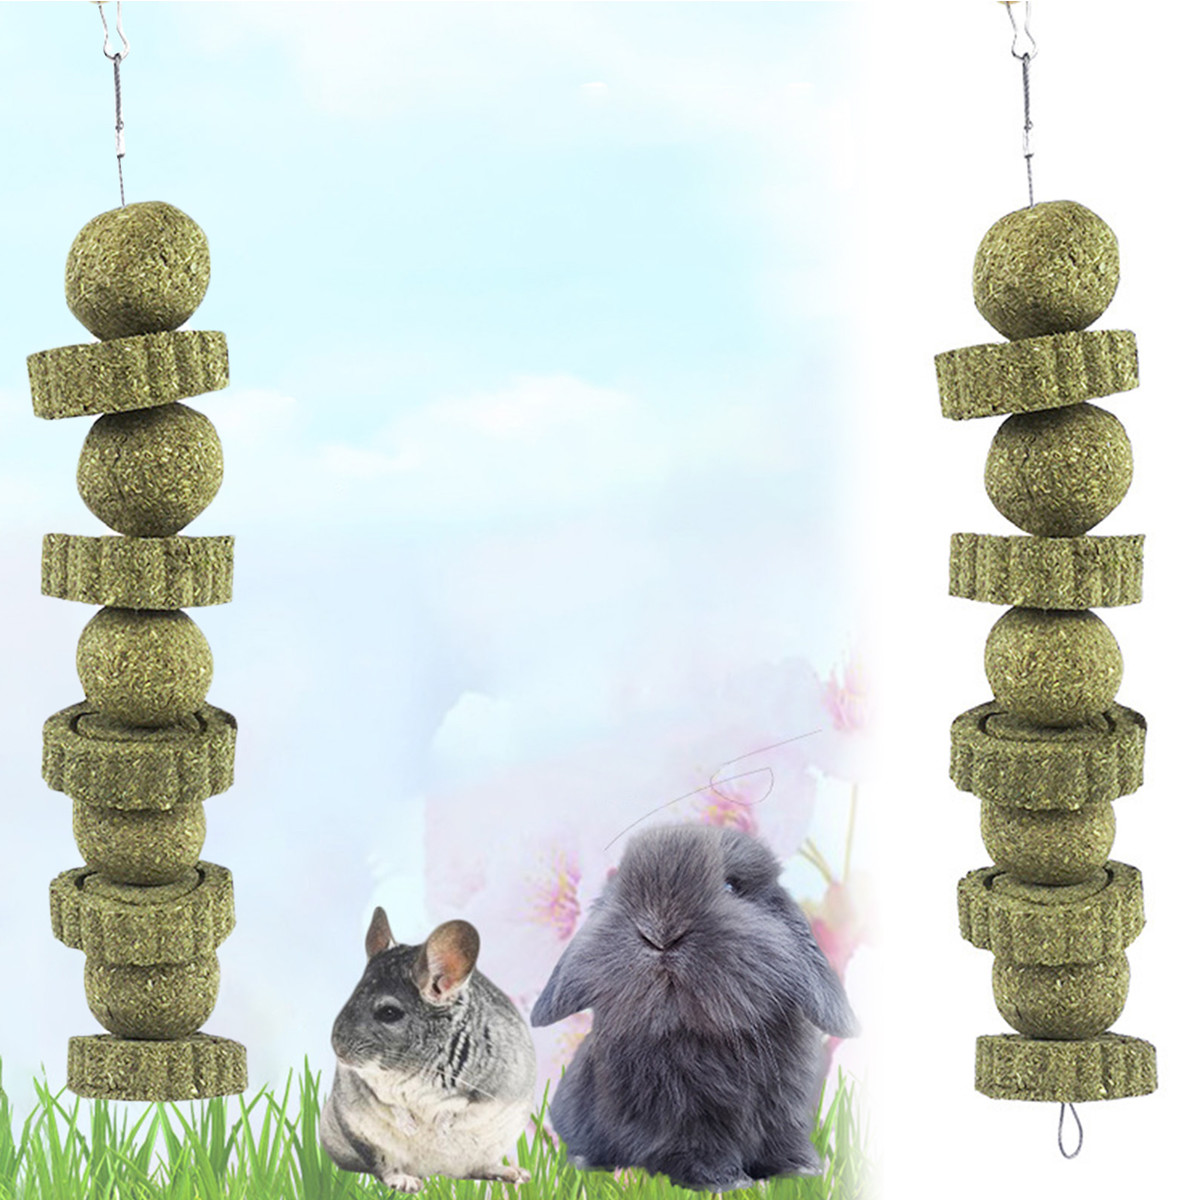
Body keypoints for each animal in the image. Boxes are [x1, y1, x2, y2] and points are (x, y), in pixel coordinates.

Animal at [320, 908, 537, 1194]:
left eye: (389, 1012)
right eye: (352, 995)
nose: (338, 1049)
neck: (411, 1067)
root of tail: (437, 1172)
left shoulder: (493, 1086)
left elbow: (456, 1109)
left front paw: (438, 1129)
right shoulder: (363, 1085)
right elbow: (390, 1103)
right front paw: (411, 1127)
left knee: (480, 1168)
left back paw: (514, 1173)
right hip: (368, 1142)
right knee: (385, 1168)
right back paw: (406, 1181)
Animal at [530, 823, 858, 1193]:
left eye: (732, 886)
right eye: (622, 887)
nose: (660, 932)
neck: (707, 1035)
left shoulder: (782, 1106)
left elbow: (781, 1137)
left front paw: (801, 1169)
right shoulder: (682, 1121)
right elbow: (693, 1147)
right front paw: (725, 1181)